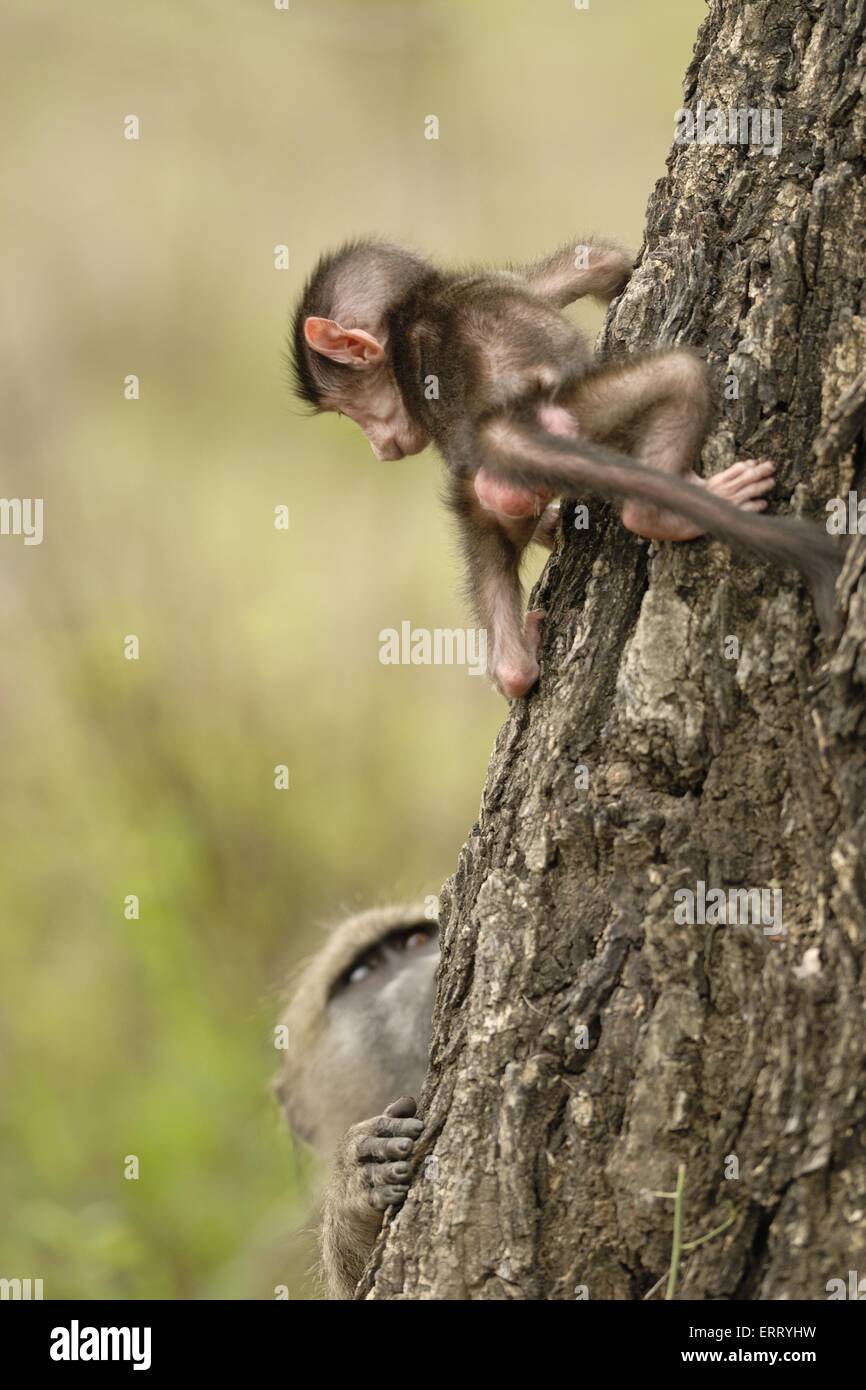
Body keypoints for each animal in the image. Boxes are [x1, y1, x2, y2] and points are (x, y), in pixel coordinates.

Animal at [289, 238, 844, 699]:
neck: (412, 306)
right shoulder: (513, 283)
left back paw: (518, 662)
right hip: (584, 411)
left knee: (497, 573)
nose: (379, 449)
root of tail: (500, 421)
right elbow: (600, 262)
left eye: (350, 412)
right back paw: (667, 513)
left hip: (479, 494)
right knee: (680, 376)